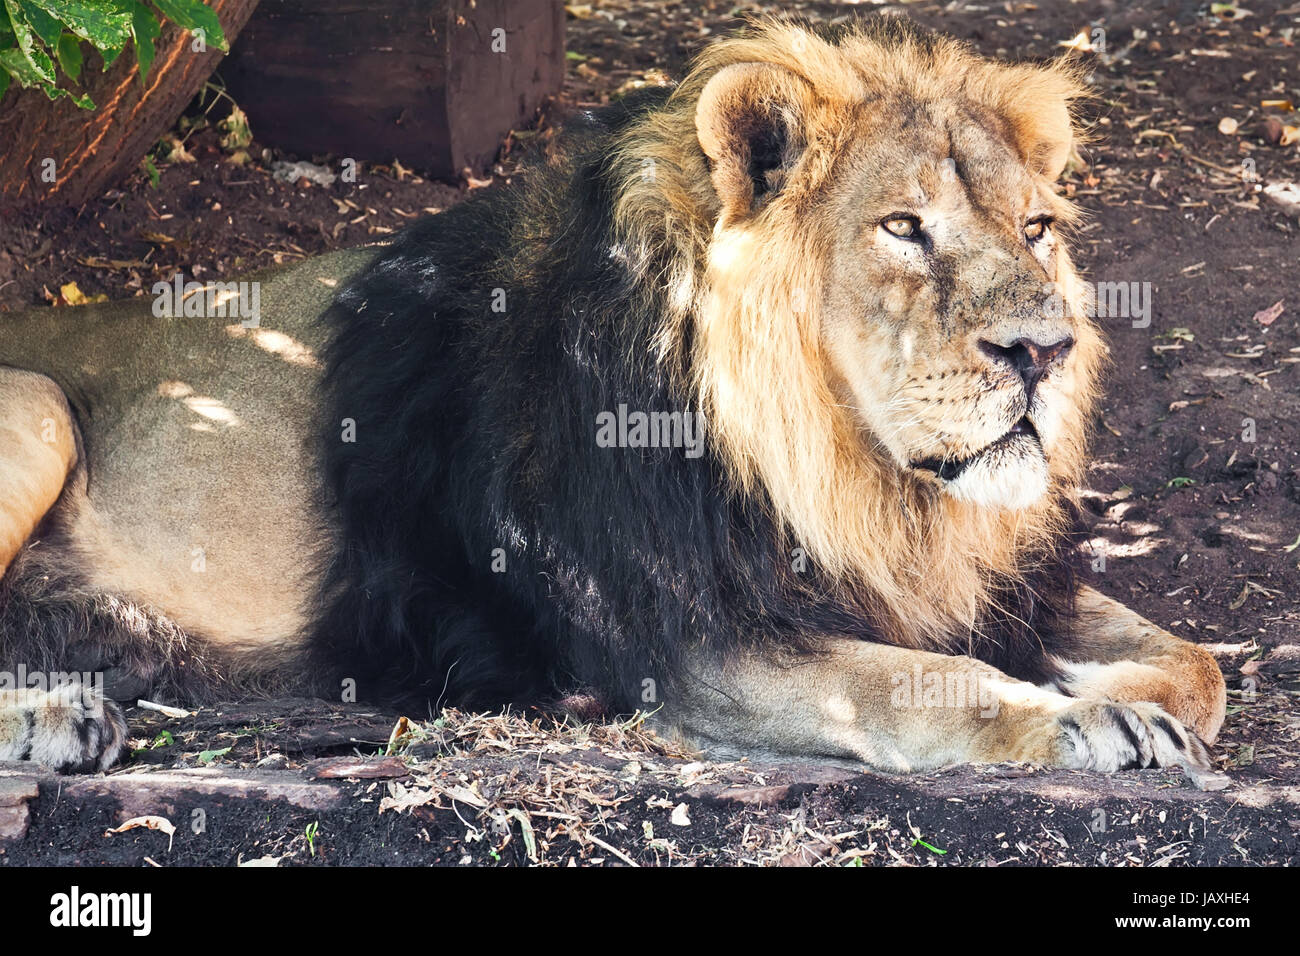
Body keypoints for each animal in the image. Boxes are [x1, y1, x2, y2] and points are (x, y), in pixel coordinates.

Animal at [0, 16, 1225, 783]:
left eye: (1038, 228)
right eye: (902, 227)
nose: (1047, 349)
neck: (851, 479)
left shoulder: (971, 583)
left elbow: (1196, 662)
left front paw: (1123, 686)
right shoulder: (690, 643)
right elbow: (920, 685)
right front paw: (1084, 717)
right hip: (38, 403)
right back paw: (56, 716)